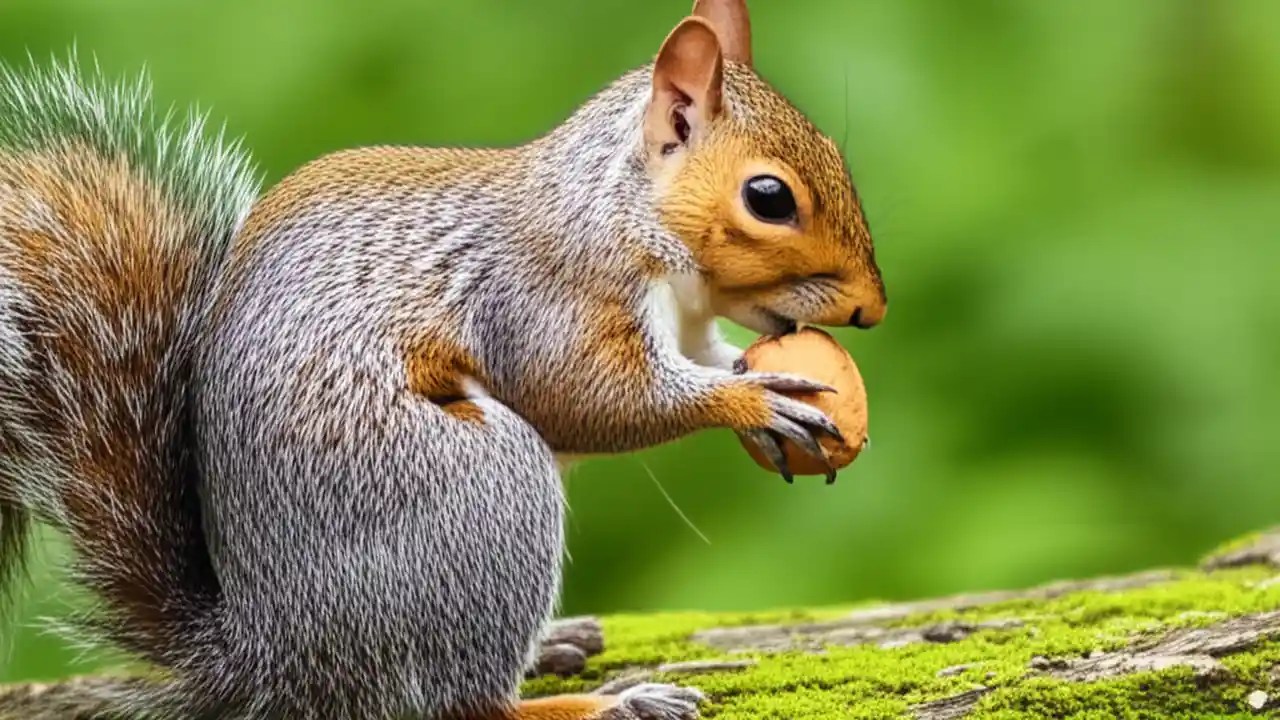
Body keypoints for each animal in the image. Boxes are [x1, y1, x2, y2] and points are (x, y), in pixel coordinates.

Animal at [0, 1, 886, 718]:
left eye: (836, 153)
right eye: (768, 197)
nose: (870, 310)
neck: (620, 210)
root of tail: (274, 661)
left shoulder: (692, 332)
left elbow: (705, 360)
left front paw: (762, 394)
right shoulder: (547, 294)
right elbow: (592, 398)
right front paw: (756, 401)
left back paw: (554, 646)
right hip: (481, 489)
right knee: (464, 704)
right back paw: (603, 703)